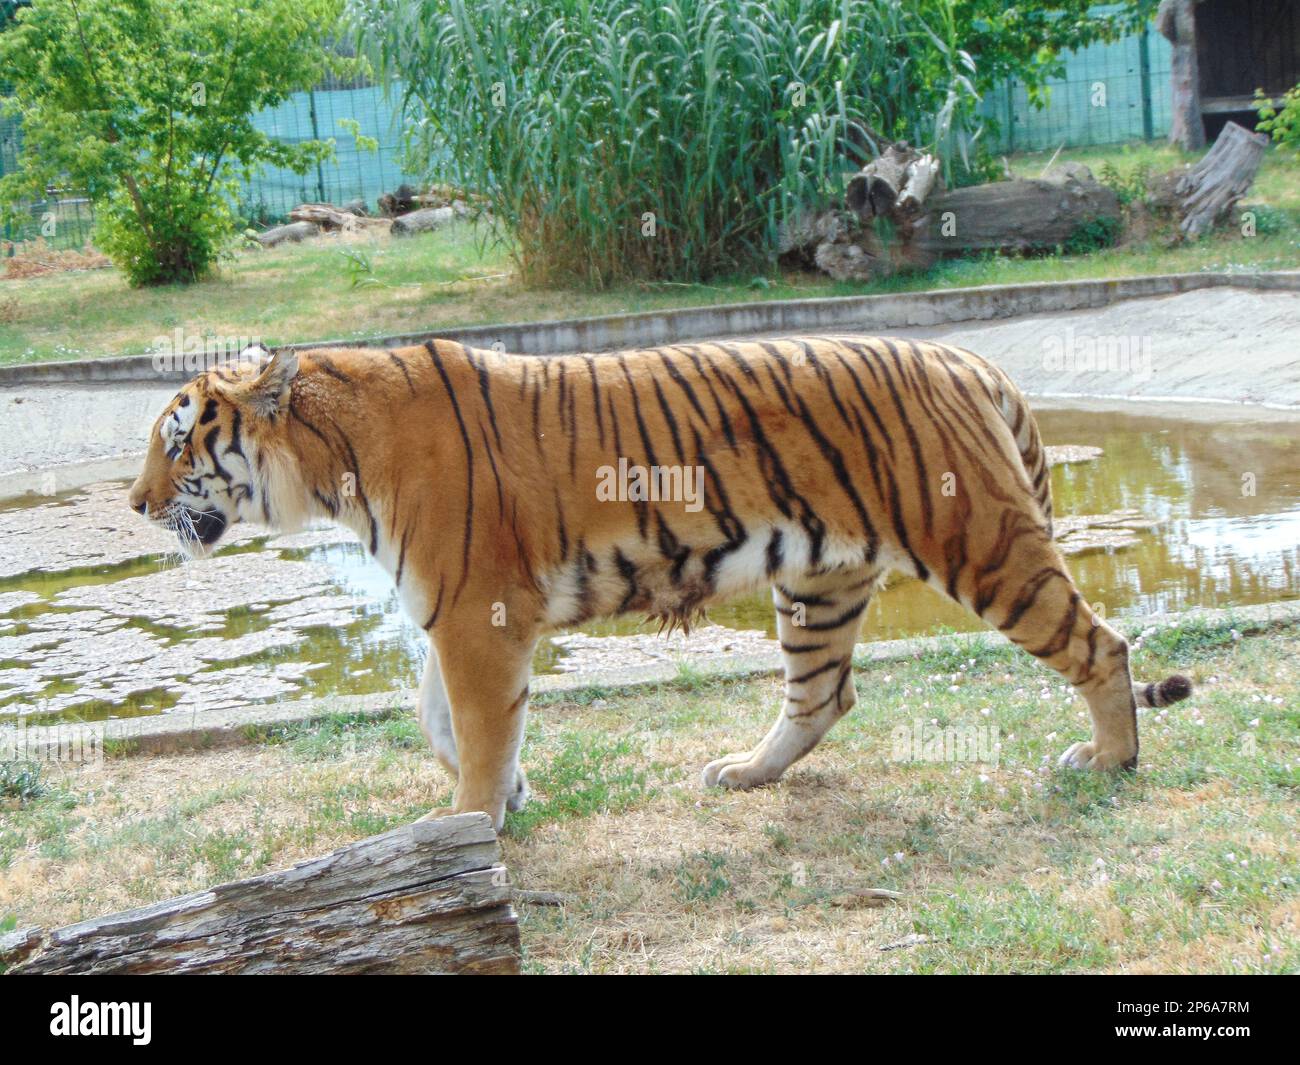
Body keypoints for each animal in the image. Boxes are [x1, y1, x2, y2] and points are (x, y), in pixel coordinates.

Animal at [129, 335, 1192, 830]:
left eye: (176, 443)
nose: (135, 505)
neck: (331, 465)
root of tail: (967, 355)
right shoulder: (451, 612)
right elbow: (440, 718)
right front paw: (504, 797)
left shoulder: (475, 614)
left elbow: (473, 724)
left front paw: (470, 817)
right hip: (820, 581)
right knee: (822, 695)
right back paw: (746, 771)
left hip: (983, 545)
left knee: (1103, 644)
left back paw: (1109, 759)